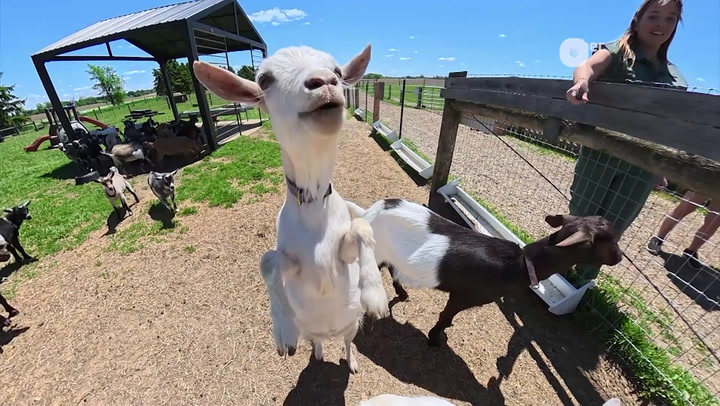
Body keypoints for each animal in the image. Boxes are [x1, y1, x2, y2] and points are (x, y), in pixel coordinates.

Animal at [193, 44, 388, 373]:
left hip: (352, 325)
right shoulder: (295, 265)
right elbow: (267, 261)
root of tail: (330, 330)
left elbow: (361, 227)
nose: (324, 82)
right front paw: (283, 330)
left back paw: (351, 362)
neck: (313, 207)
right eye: (264, 79)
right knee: (317, 340)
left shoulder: (343, 254)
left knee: (348, 343)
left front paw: (374, 294)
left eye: (337, 71)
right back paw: (318, 352)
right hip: (312, 329)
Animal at [347, 198, 623, 346]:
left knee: (392, 267)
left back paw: (403, 293)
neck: (518, 264)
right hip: (375, 252)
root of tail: (369, 212)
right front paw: (435, 339)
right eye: (607, 240)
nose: (619, 257)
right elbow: (445, 316)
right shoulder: (463, 295)